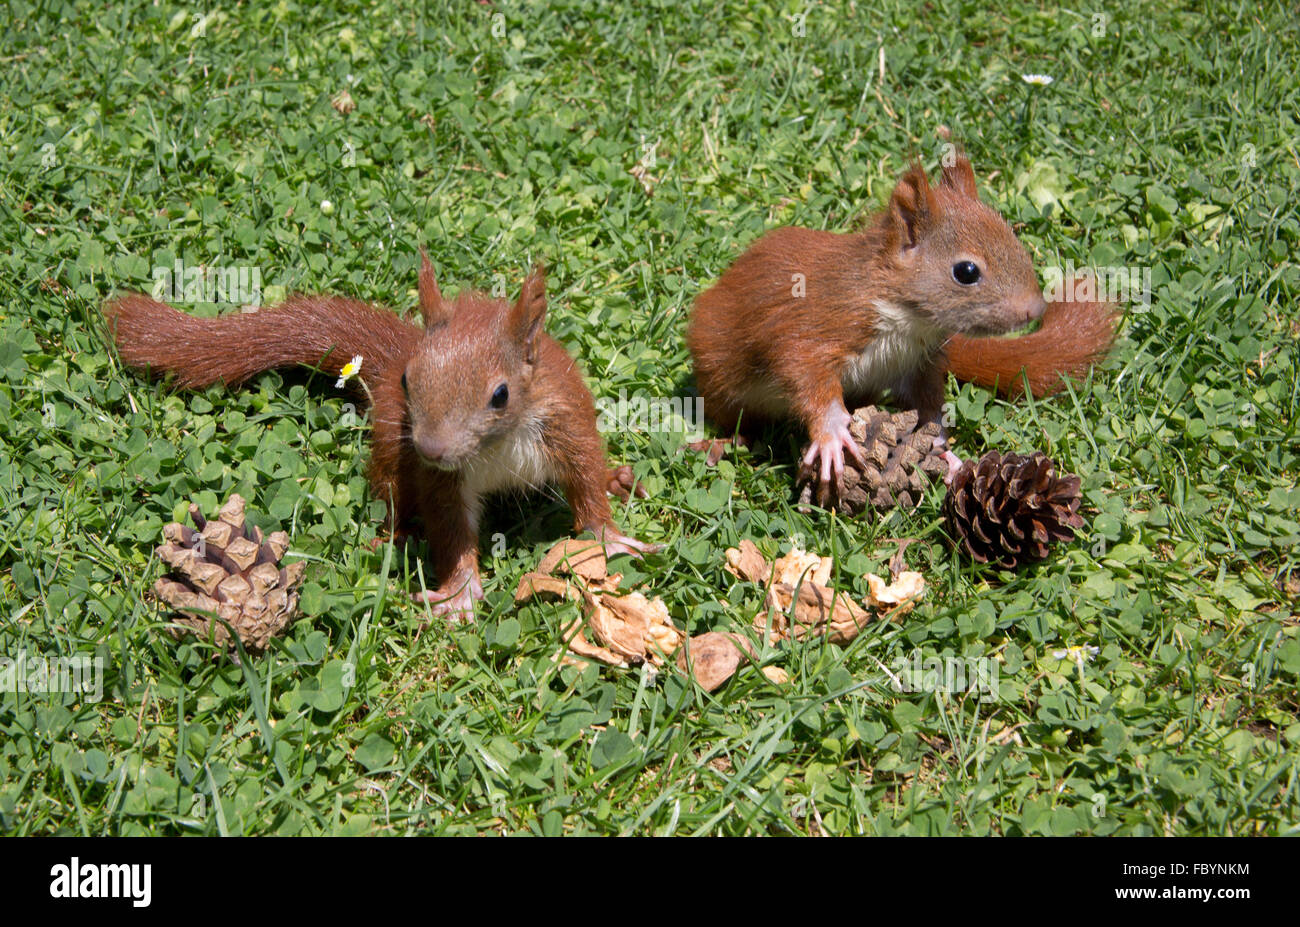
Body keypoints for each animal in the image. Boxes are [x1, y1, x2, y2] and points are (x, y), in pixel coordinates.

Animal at [103, 251, 659, 620]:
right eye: (410, 380)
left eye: (500, 395)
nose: (431, 448)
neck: (497, 445)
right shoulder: (440, 477)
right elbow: (450, 527)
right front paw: (459, 593)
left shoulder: (565, 424)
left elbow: (585, 482)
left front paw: (610, 538)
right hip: (392, 450)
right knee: (391, 489)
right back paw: (393, 534)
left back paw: (620, 478)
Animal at [686, 154, 1117, 488]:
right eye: (966, 271)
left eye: (1013, 238)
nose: (1035, 310)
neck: (908, 319)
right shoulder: (818, 324)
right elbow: (802, 371)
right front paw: (832, 436)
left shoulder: (917, 365)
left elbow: (928, 409)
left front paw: (944, 453)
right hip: (721, 377)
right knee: (732, 417)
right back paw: (724, 442)